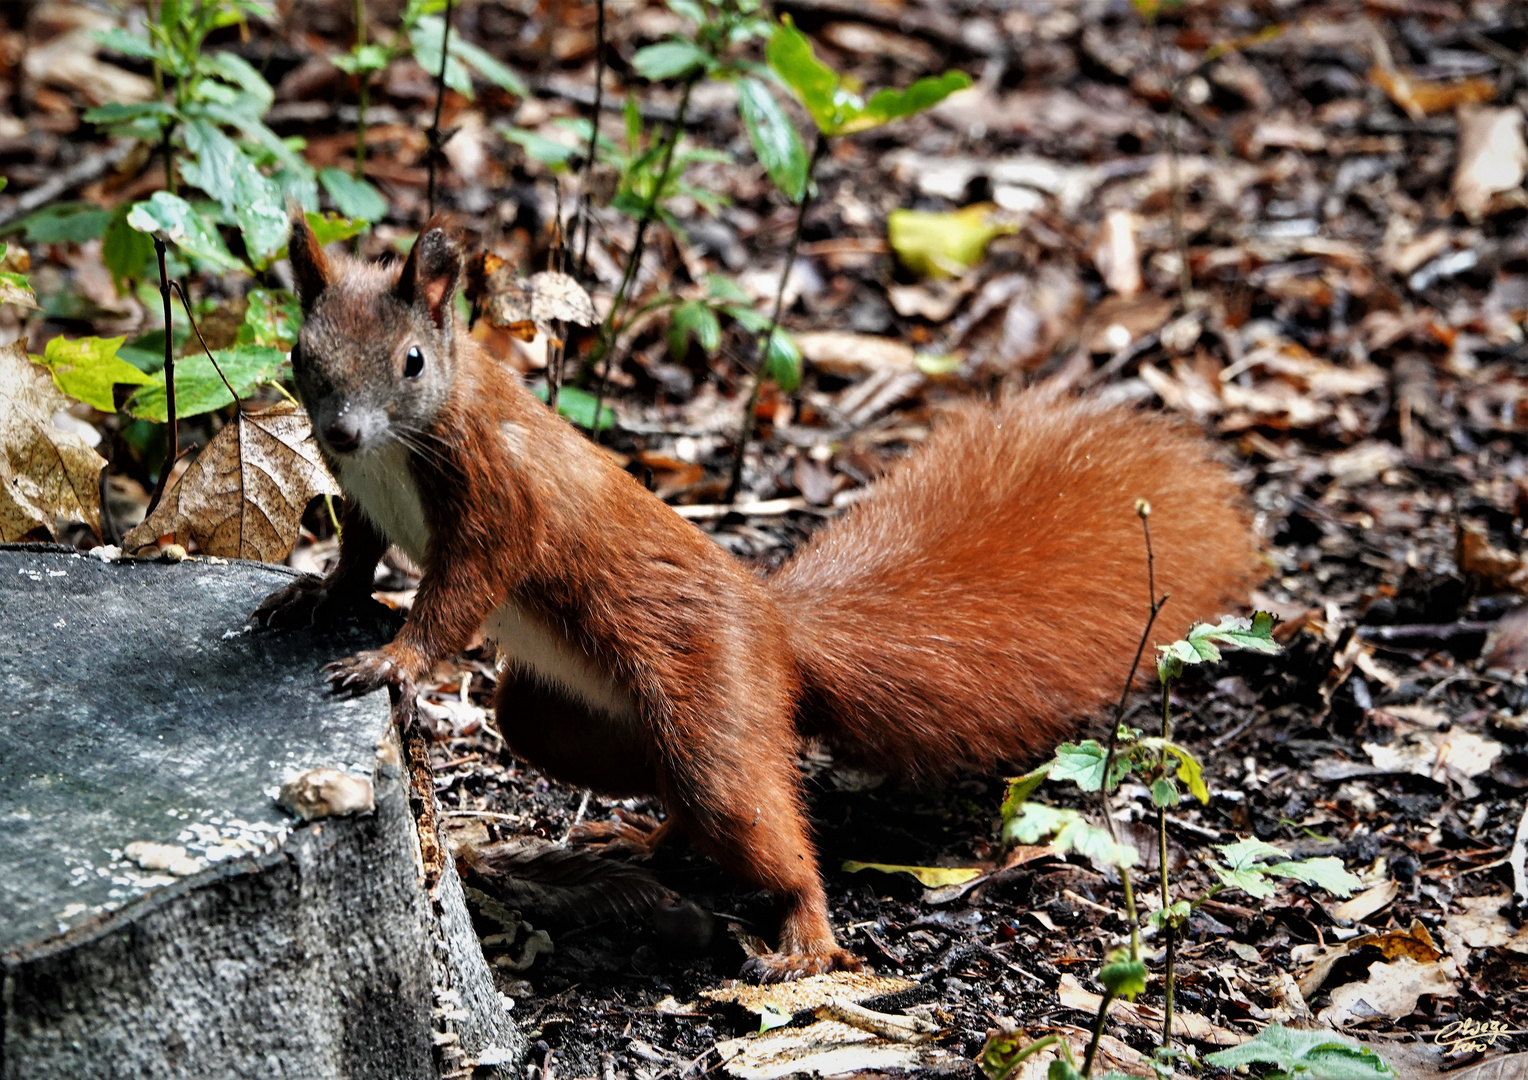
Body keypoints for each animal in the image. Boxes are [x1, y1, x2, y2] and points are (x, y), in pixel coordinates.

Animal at [256, 215, 1259, 983]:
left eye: (411, 361)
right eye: (302, 354)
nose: (341, 432)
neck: (403, 447)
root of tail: (777, 631)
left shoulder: (499, 502)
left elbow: (458, 593)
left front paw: (391, 660)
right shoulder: (367, 500)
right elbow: (359, 553)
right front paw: (315, 596)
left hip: (713, 690)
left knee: (749, 810)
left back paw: (803, 936)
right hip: (560, 719)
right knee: (669, 783)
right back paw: (646, 845)